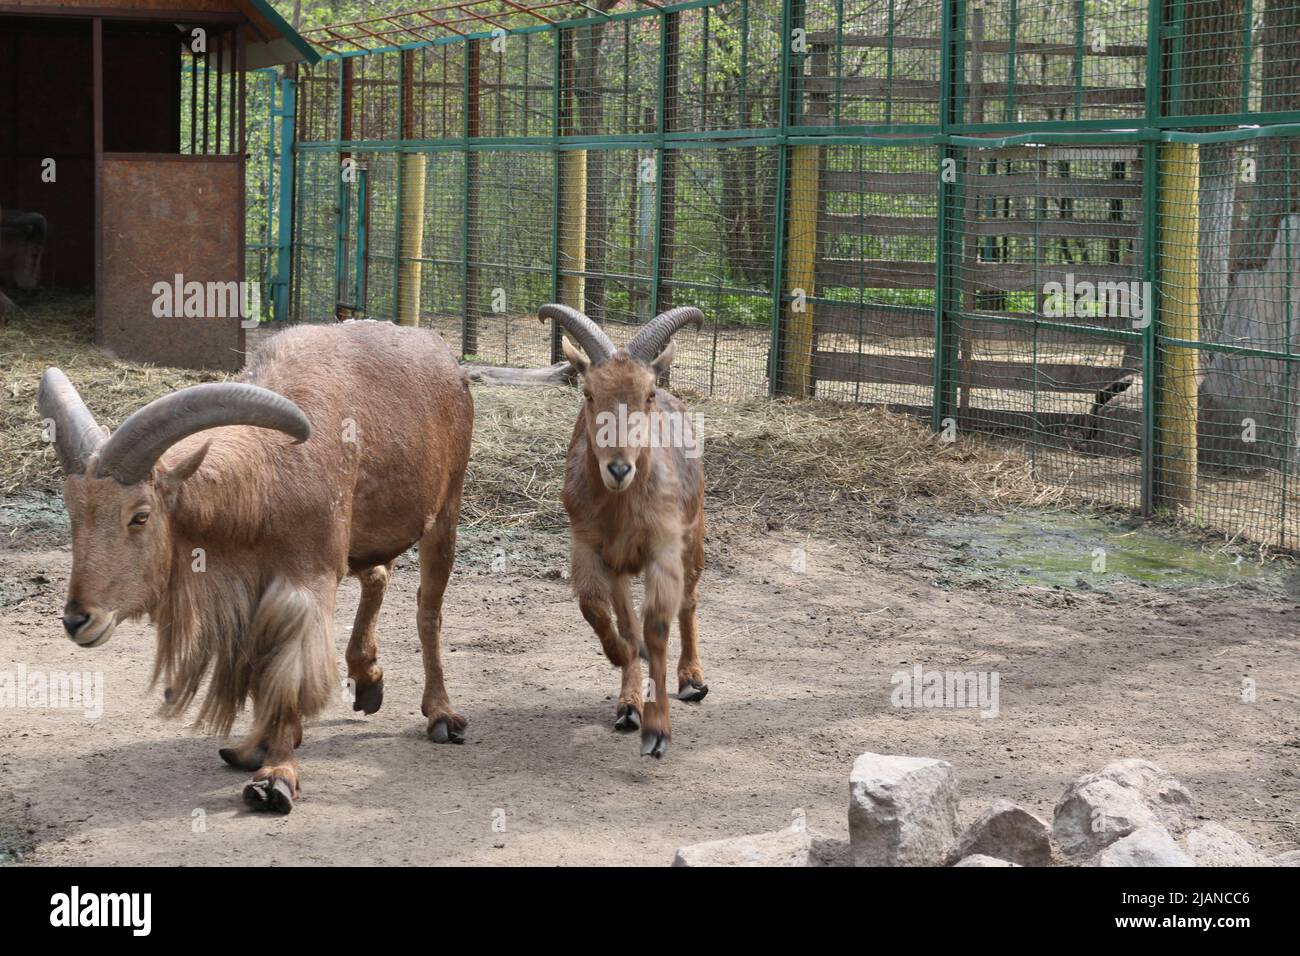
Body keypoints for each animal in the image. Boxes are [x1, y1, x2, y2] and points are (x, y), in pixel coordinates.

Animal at [37, 320, 474, 813]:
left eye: (140, 516)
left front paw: (275, 777)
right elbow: (262, 666)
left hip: (445, 509)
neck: (265, 478)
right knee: (378, 575)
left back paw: (440, 714)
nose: (78, 620)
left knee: (427, 612)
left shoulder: (307, 583)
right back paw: (367, 681)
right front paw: (254, 747)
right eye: (74, 513)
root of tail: (442, 352)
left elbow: (290, 673)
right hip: (365, 534)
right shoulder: (255, 589)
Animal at [539, 304, 708, 759]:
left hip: (695, 533)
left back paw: (692, 679)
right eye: (588, 393)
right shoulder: (592, 548)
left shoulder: (663, 548)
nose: (618, 468)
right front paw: (625, 675)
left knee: (689, 600)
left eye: (646, 395)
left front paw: (657, 731)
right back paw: (631, 697)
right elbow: (600, 612)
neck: (623, 510)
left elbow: (658, 623)